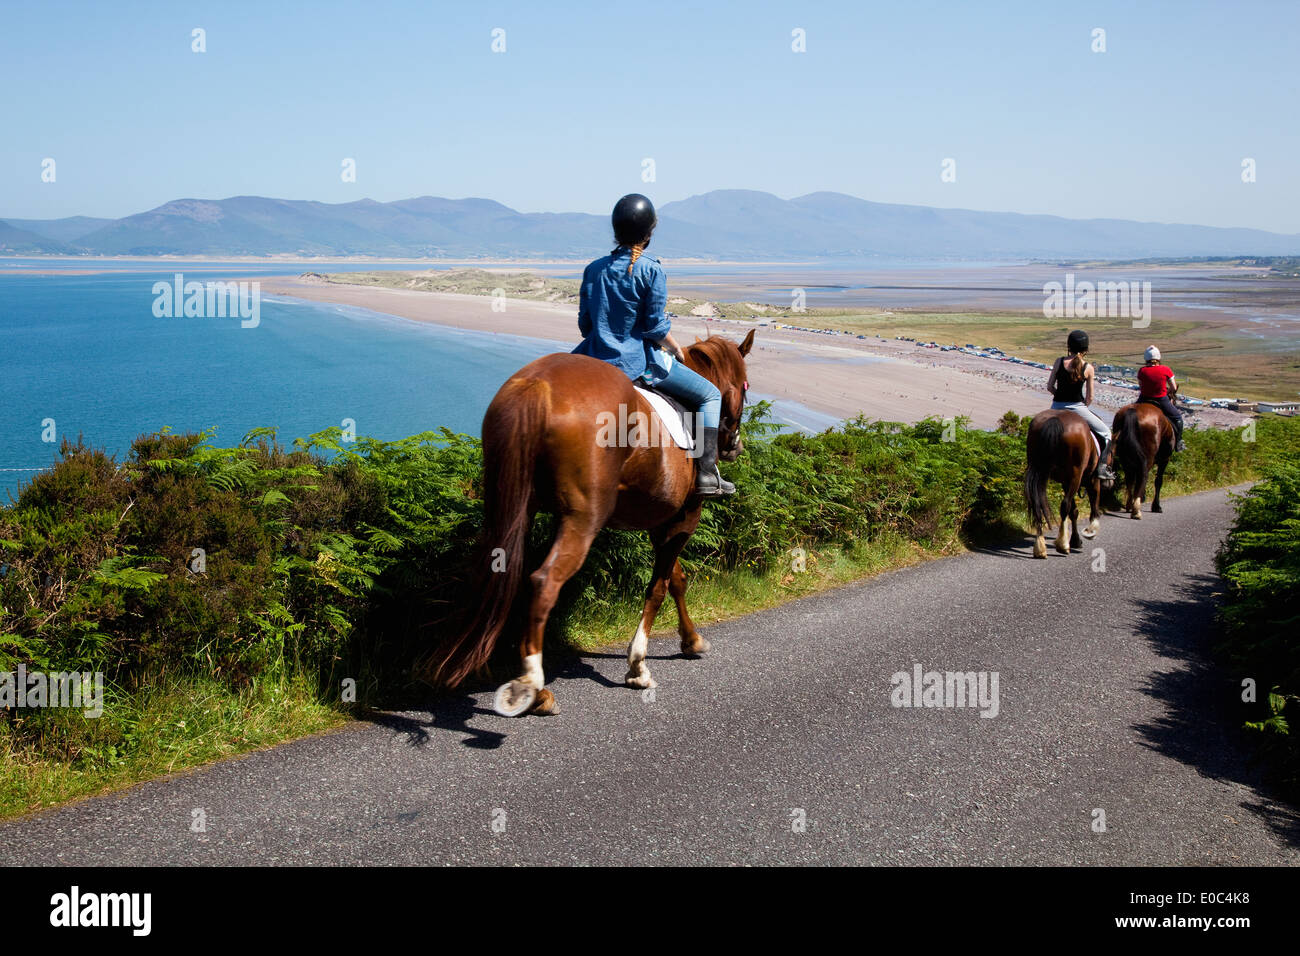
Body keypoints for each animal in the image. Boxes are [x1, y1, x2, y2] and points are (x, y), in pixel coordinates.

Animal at [424, 330, 755, 716]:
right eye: (745, 386)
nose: (735, 446)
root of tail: (538, 385)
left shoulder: (660, 523)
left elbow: (676, 581)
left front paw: (692, 640)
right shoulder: (682, 520)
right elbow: (658, 587)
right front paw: (637, 666)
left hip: (519, 508)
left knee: (510, 573)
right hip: (583, 521)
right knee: (544, 581)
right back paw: (533, 688)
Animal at [1023, 409, 1102, 558]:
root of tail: (1055, 419)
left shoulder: (1066, 482)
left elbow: (1074, 511)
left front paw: (1076, 540)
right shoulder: (1092, 479)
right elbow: (1093, 504)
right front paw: (1091, 531)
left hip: (1040, 471)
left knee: (1038, 506)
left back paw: (1040, 547)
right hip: (1076, 475)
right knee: (1065, 505)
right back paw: (1063, 544)